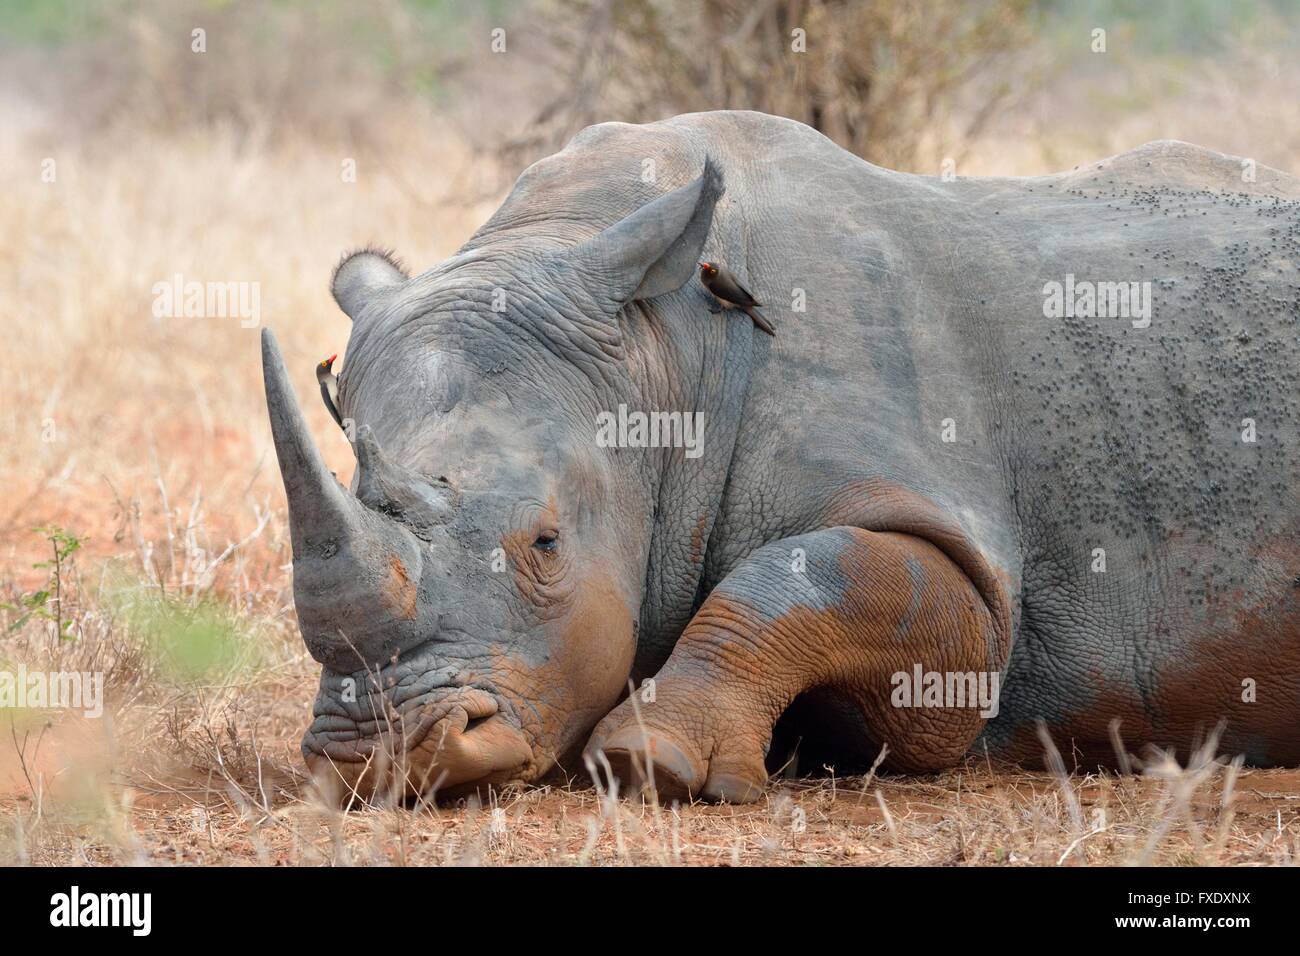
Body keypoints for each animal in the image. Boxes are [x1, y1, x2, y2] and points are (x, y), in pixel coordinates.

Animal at [261, 110, 1300, 803]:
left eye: (547, 545)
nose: (378, 753)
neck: (663, 353)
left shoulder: (957, 569)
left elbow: (813, 575)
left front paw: (649, 762)